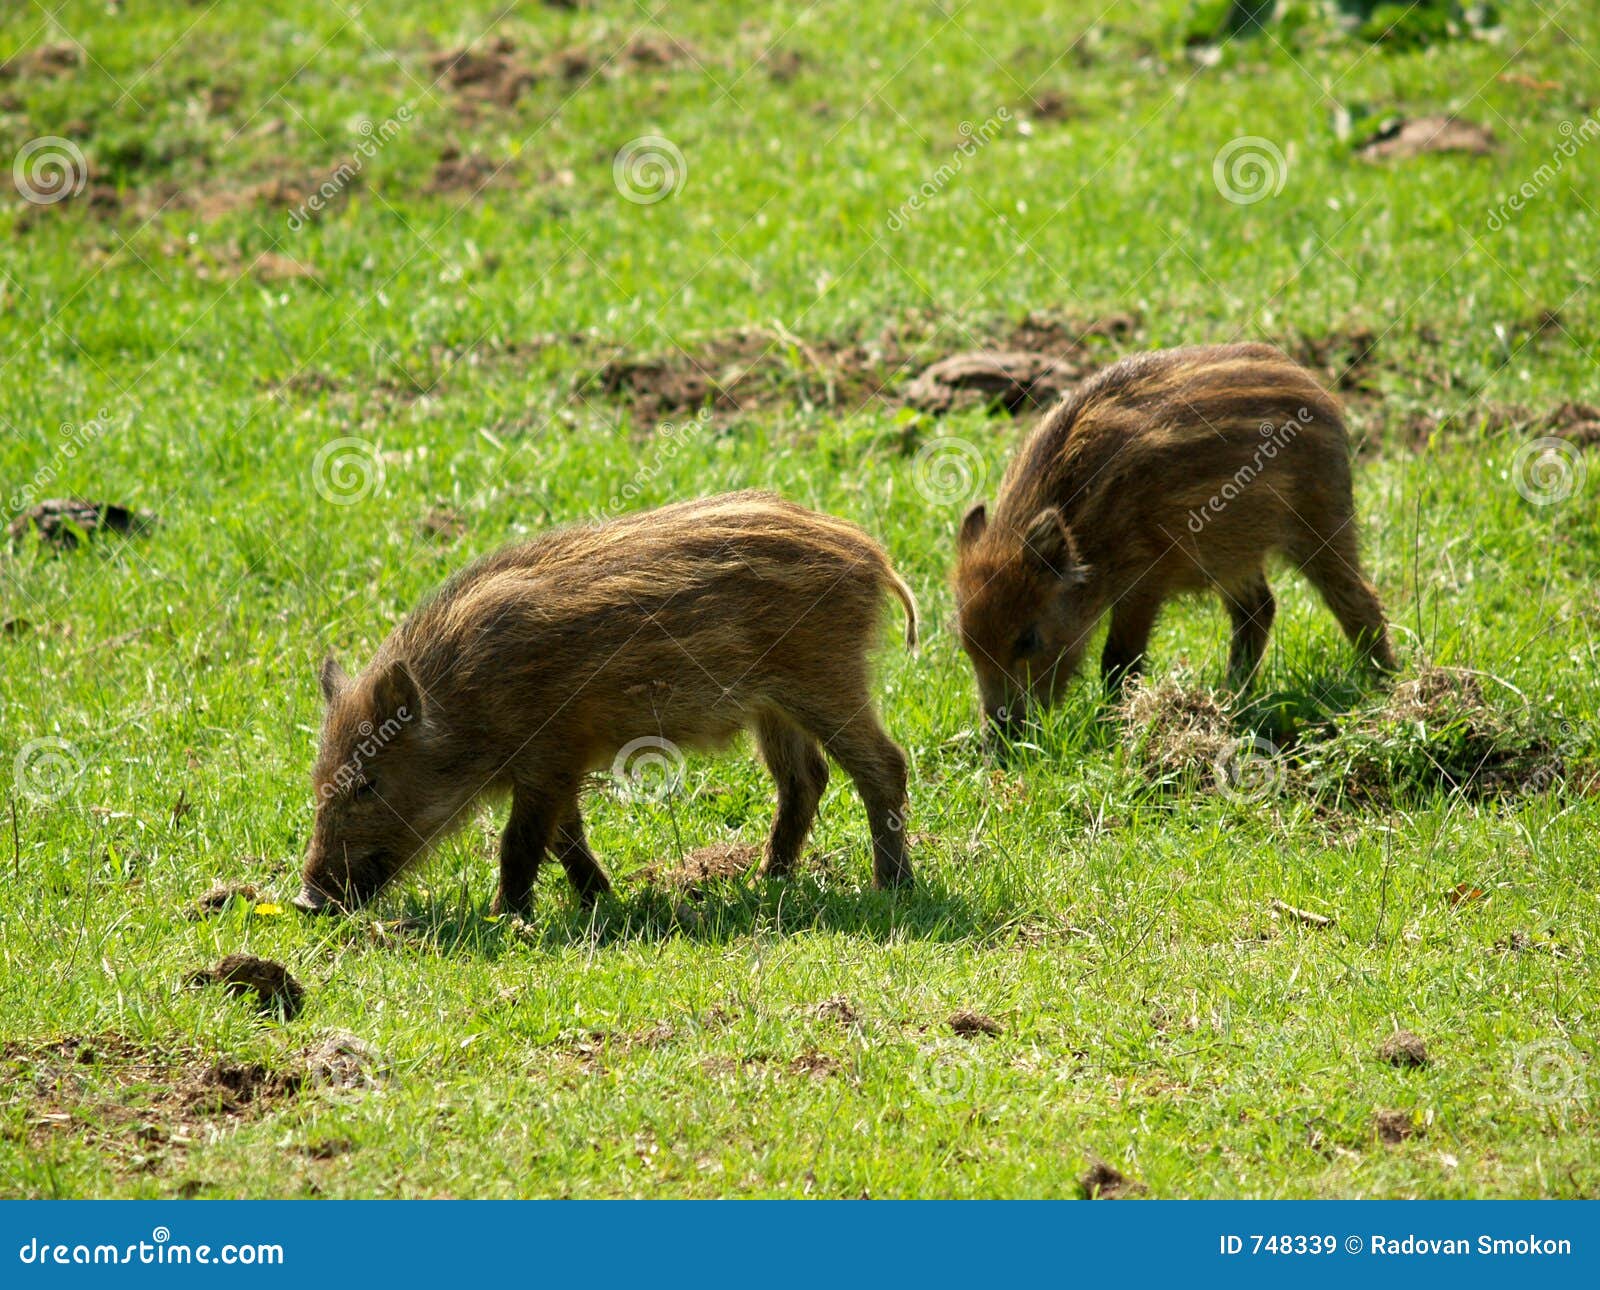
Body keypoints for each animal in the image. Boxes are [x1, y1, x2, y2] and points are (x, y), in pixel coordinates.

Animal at [294, 491, 918, 916]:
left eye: (368, 783)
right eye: (319, 780)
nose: (306, 901)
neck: (467, 699)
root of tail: (874, 557)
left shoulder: (548, 754)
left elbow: (520, 842)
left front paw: (506, 918)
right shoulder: (558, 766)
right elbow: (566, 836)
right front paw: (600, 900)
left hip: (826, 679)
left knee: (883, 765)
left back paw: (893, 886)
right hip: (775, 707)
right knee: (805, 779)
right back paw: (767, 880)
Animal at [954, 343, 1396, 737]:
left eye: (1028, 639)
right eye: (966, 644)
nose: (1000, 743)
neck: (1086, 525)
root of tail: (1319, 391)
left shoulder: (1147, 575)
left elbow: (1118, 659)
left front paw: (1113, 725)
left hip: (1321, 516)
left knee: (1358, 599)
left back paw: (1385, 686)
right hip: (1236, 554)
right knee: (1259, 609)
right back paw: (1233, 698)